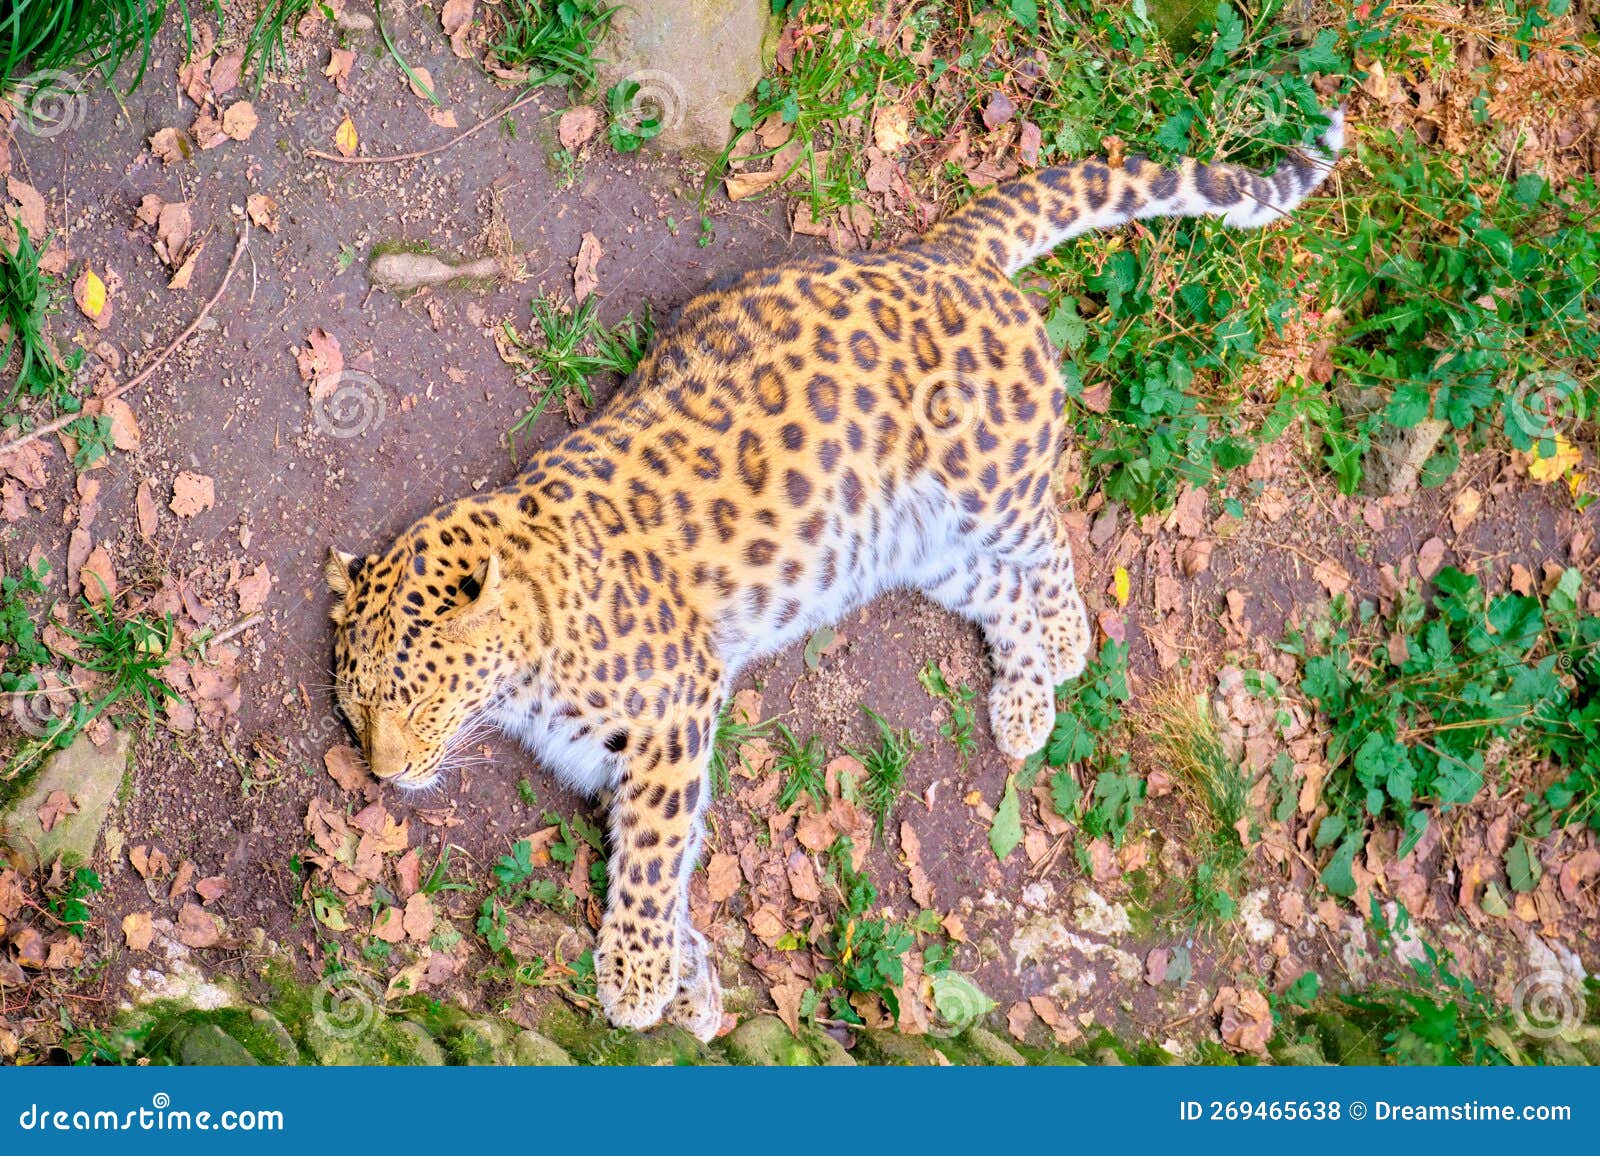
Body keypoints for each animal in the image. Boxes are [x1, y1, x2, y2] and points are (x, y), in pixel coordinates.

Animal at [326, 109, 1344, 1040]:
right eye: (358, 705)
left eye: (417, 699)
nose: (383, 775)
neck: (526, 650)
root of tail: (940, 255)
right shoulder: (627, 753)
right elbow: (666, 858)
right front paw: (692, 987)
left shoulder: (676, 708)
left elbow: (652, 859)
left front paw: (638, 979)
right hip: (926, 546)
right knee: (1000, 589)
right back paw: (1025, 705)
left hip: (991, 486)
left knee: (1047, 541)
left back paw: (1064, 642)